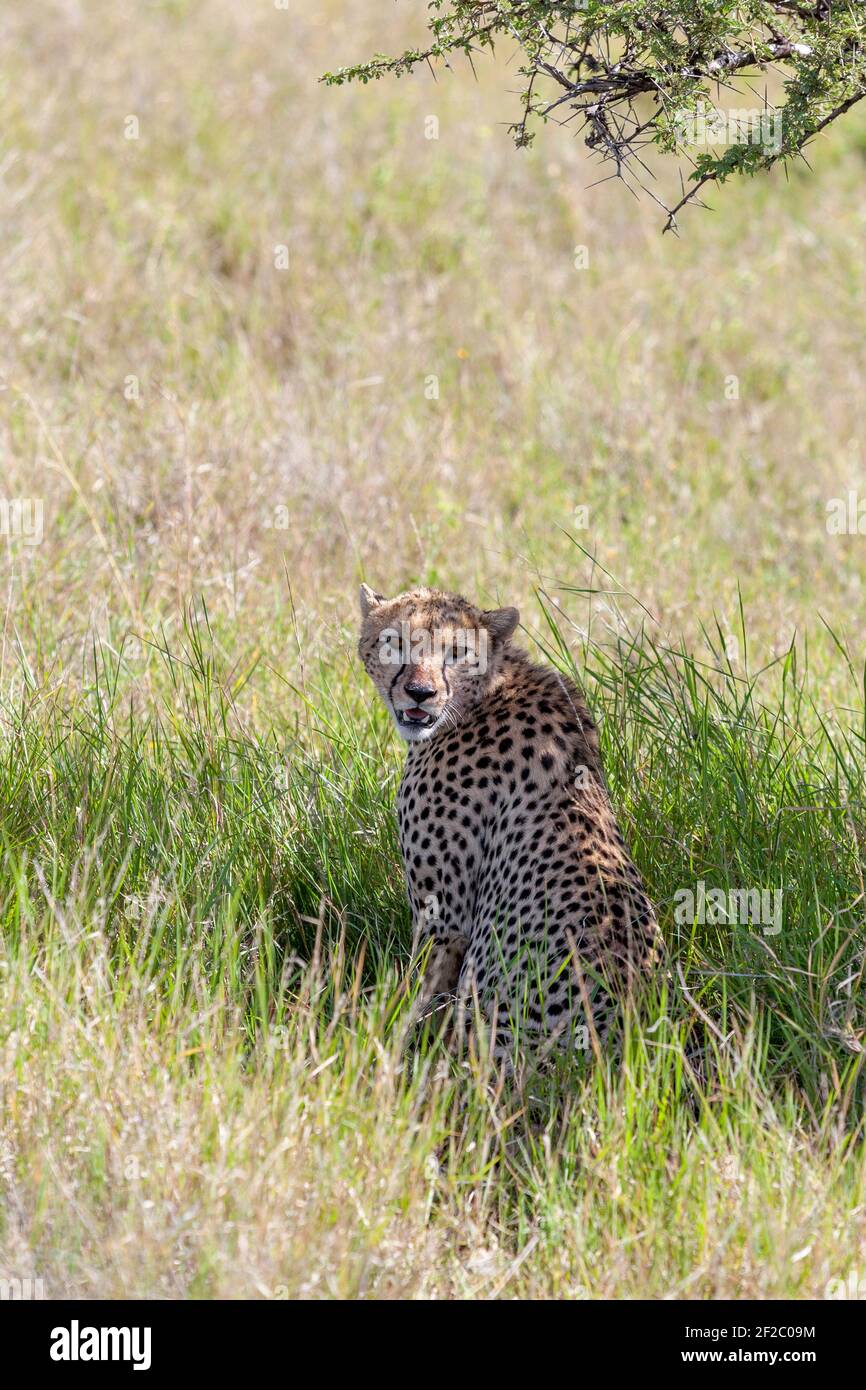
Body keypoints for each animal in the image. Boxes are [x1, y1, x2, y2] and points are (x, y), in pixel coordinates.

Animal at [358, 582, 662, 1069]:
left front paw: (389, 1047)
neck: (485, 690)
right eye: (395, 642)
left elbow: (418, 995)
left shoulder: (444, 921)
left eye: (457, 653)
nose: (419, 693)